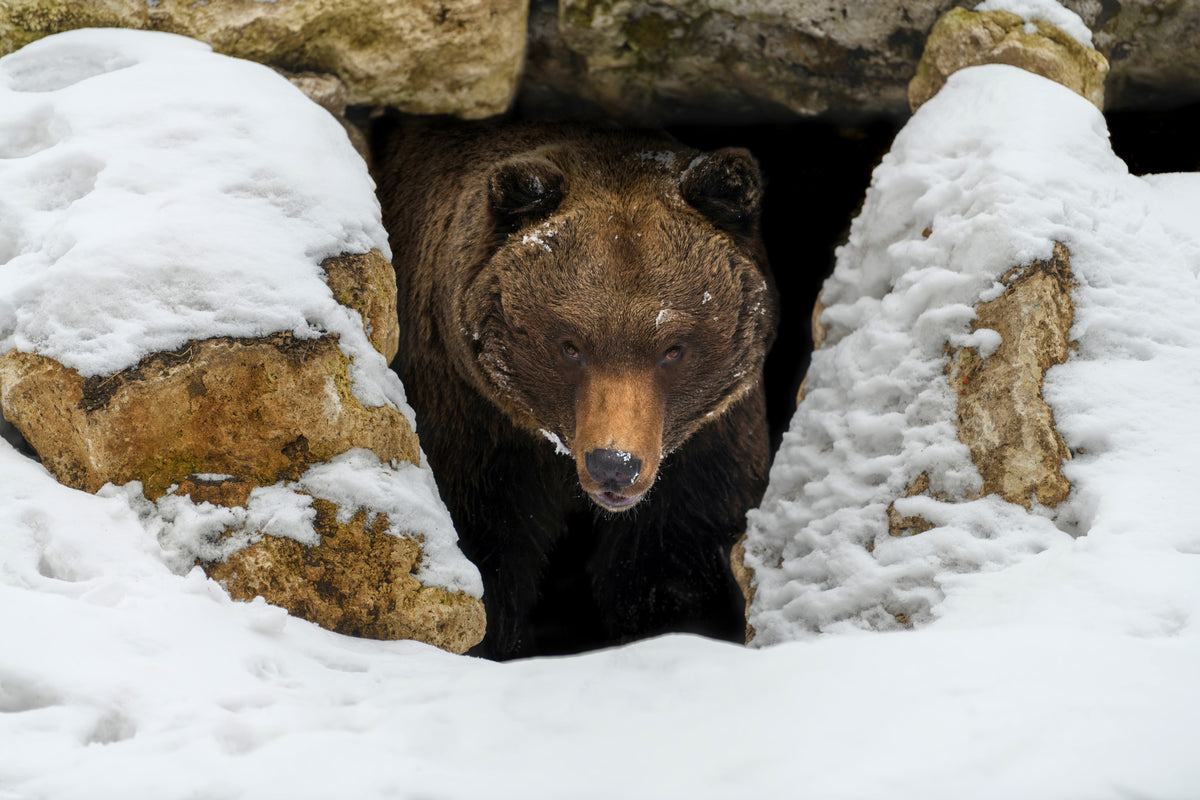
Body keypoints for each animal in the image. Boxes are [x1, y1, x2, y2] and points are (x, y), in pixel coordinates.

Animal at [373, 119, 778, 660]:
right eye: (570, 345)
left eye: (672, 348)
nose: (614, 464)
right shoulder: (475, 425)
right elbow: (486, 549)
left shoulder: (706, 449)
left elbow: (672, 567)